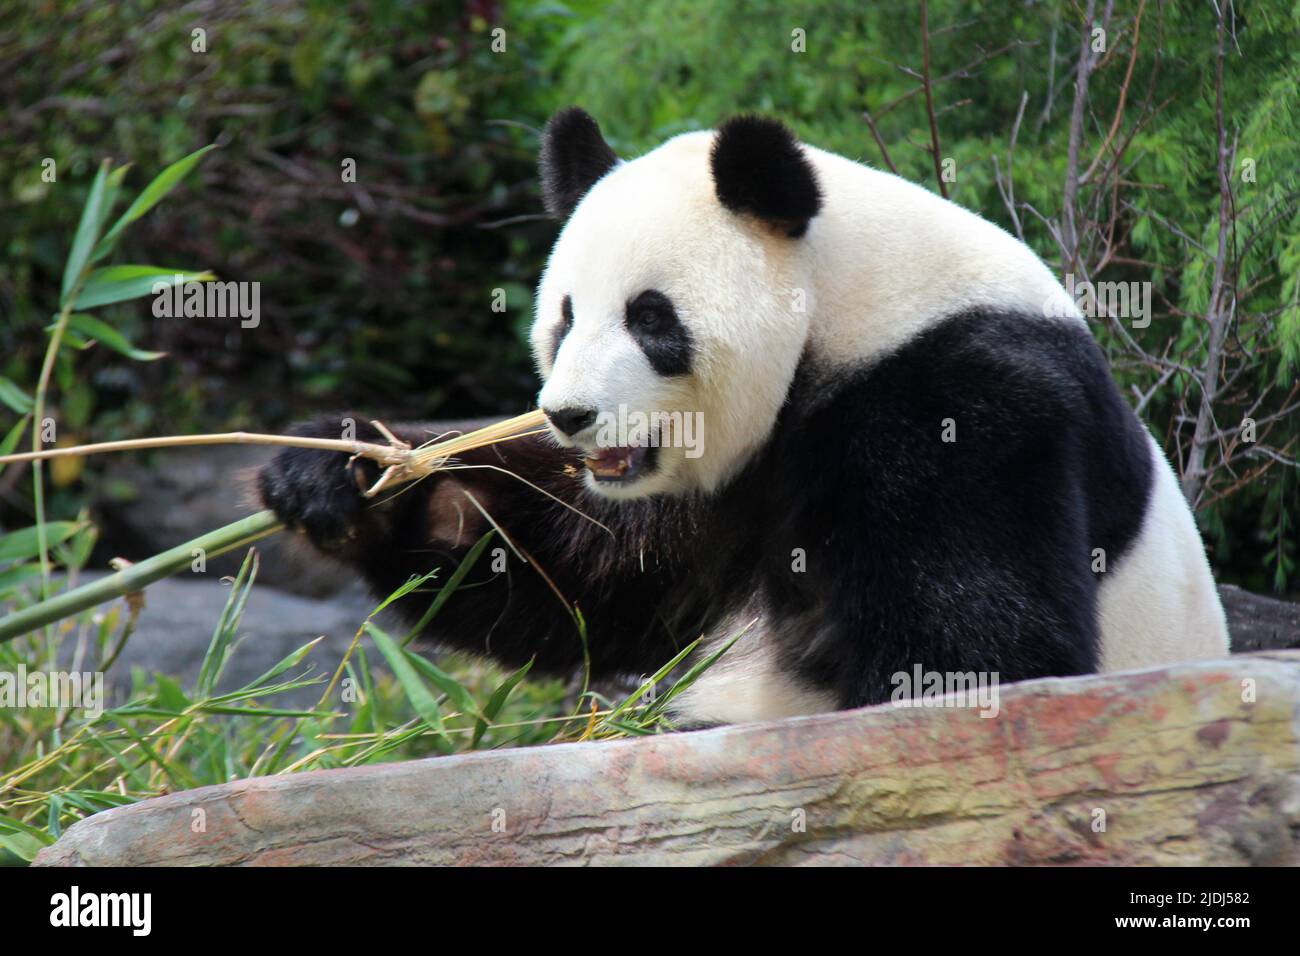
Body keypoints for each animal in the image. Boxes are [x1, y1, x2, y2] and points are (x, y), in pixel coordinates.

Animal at [259, 107, 1230, 727]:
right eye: (565, 317)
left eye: (651, 319)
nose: (570, 416)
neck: (847, 305)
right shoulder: (708, 489)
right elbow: (587, 578)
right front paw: (344, 475)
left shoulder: (962, 396)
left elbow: (978, 651)